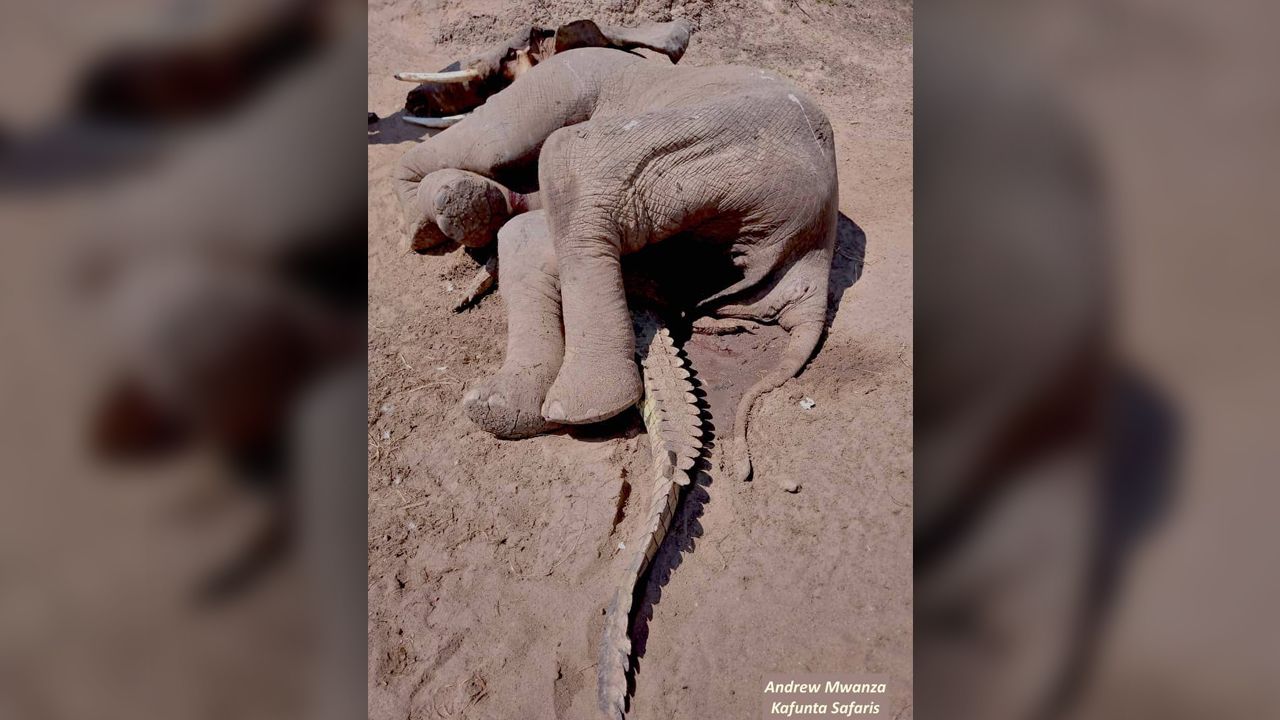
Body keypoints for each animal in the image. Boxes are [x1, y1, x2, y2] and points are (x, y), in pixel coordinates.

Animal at [392, 43, 839, 482]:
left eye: (485, 68)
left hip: (720, 151)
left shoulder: (568, 76)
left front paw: (439, 218)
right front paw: (467, 210)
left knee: (564, 161)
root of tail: (815, 257)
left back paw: (578, 408)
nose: (412, 101)